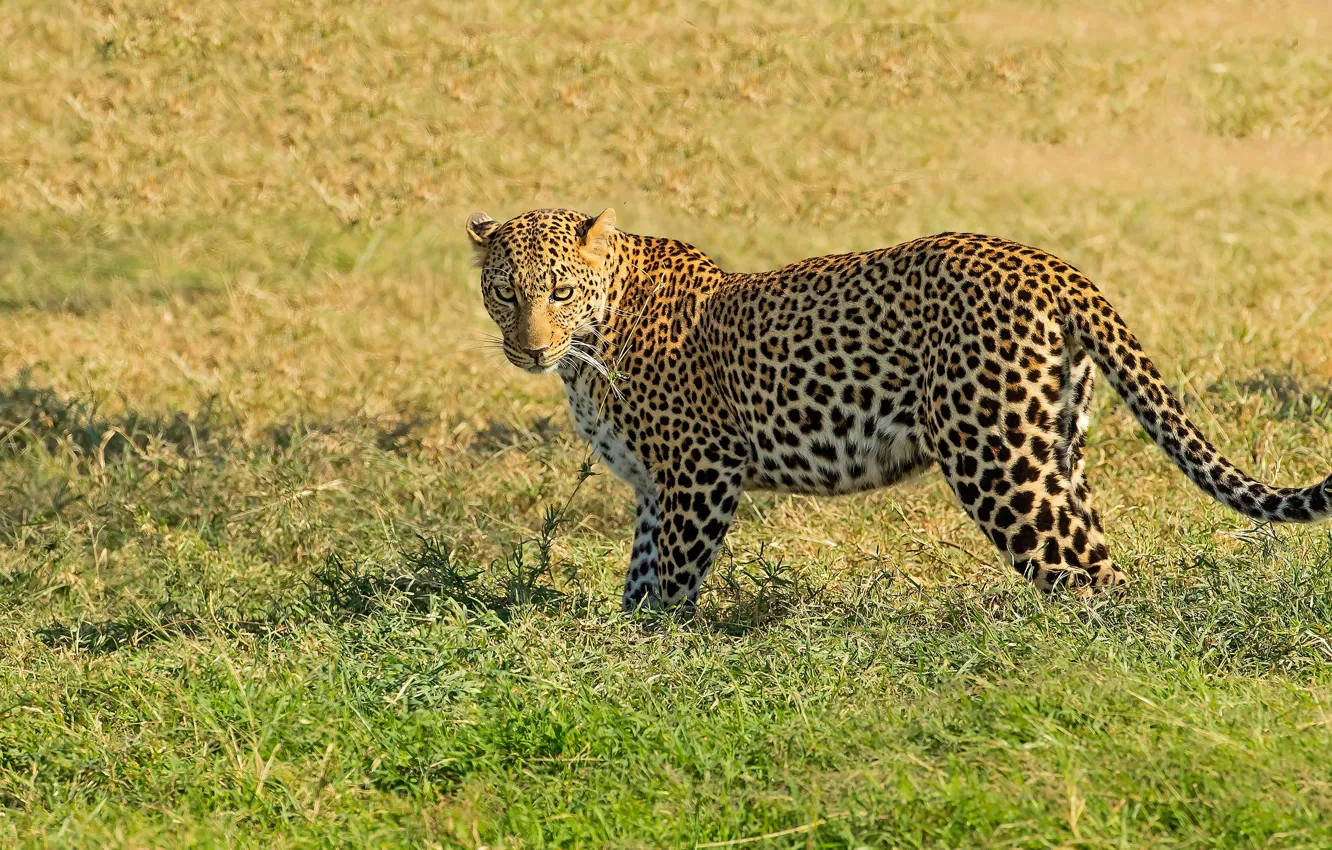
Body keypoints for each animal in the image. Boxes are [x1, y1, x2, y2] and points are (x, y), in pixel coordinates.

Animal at [466, 207, 1332, 611]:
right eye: (504, 292)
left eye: (559, 291)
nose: (529, 350)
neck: (590, 348)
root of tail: (1049, 264)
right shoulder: (655, 489)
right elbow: (639, 579)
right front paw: (621, 641)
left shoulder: (699, 475)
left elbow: (671, 586)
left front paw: (651, 660)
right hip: (1052, 445)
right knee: (1096, 558)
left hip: (994, 458)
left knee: (1085, 576)